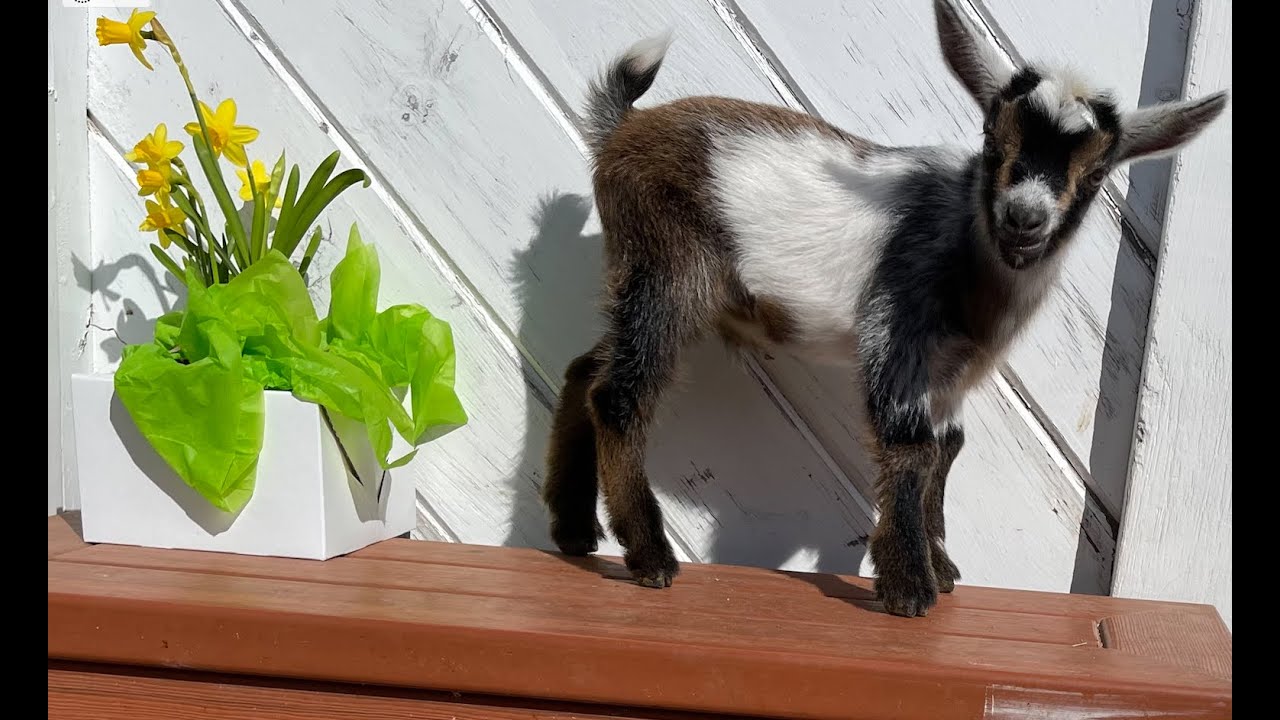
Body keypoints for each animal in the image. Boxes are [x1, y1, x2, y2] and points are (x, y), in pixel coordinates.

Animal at [542, 0, 1228, 617]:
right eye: (992, 140)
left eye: (1096, 175)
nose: (1023, 219)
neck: (970, 253)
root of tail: (622, 129)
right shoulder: (900, 327)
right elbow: (908, 443)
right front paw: (909, 589)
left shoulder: (951, 371)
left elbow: (945, 449)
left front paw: (939, 566)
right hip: (667, 268)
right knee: (621, 392)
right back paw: (649, 557)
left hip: (639, 278)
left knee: (588, 370)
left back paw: (573, 530)